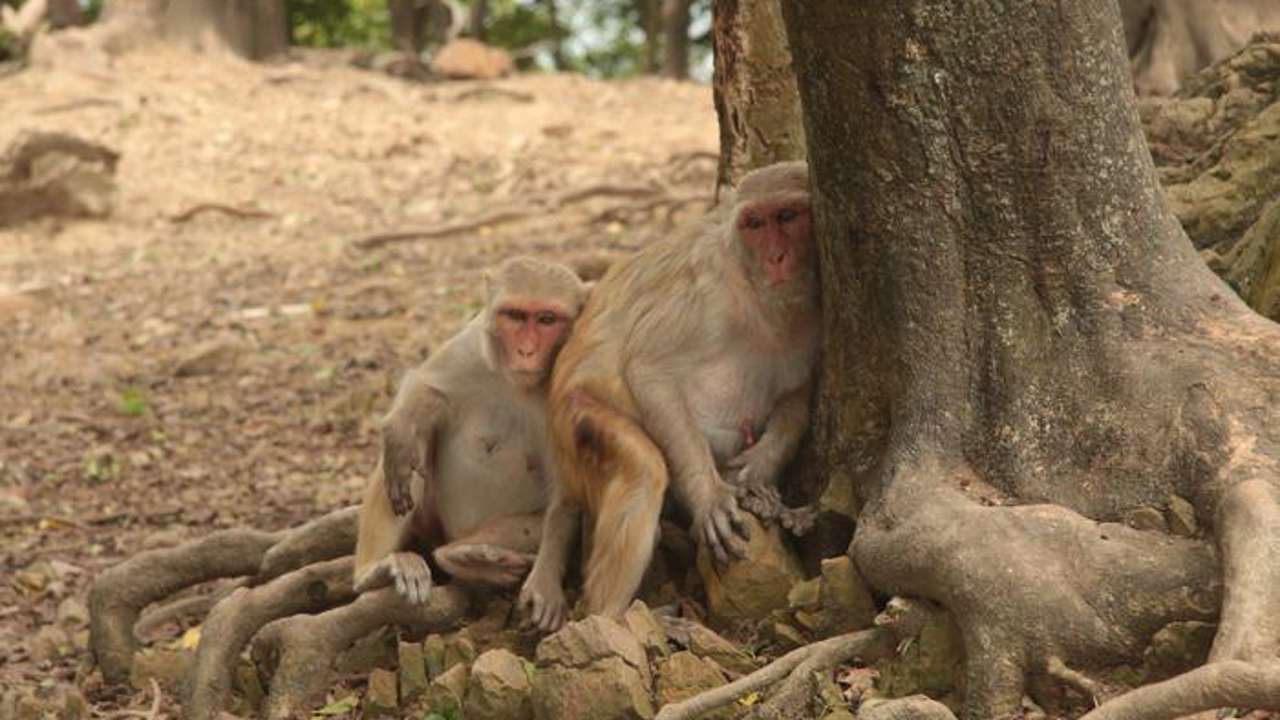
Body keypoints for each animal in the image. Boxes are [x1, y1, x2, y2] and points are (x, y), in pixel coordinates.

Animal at [353, 256, 589, 604]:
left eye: (547, 319)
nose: (526, 351)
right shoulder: (470, 344)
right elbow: (424, 385)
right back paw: (373, 572)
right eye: (515, 316)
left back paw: (466, 557)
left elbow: (567, 491)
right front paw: (398, 434)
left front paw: (545, 580)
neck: (516, 384)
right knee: (410, 465)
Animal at [518, 161, 820, 631]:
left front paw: (760, 468)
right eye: (755, 223)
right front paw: (710, 496)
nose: (776, 257)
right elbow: (650, 369)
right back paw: (613, 618)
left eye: (787, 217)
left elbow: (796, 394)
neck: (758, 294)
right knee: (642, 468)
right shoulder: (708, 292)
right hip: (574, 419)